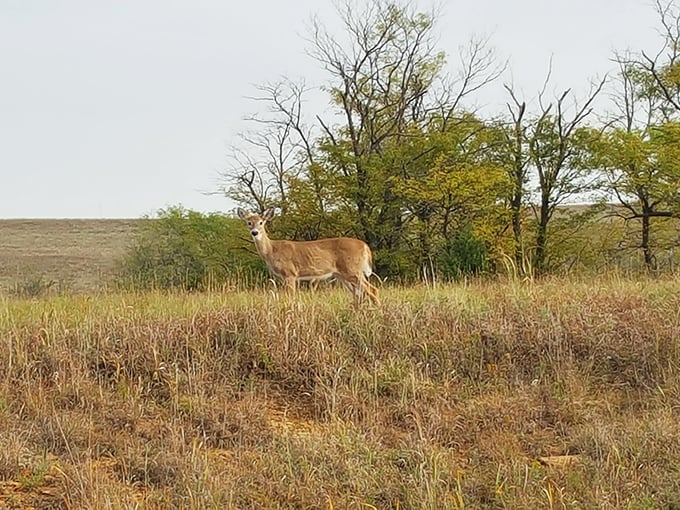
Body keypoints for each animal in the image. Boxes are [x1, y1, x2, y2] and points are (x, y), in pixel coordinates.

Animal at [237, 207, 380, 307]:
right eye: (249, 222)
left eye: (261, 222)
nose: (254, 232)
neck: (272, 250)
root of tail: (365, 246)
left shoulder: (290, 273)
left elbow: (290, 298)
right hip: (342, 275)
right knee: (358, 295)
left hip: (353, 270)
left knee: (372, 290)